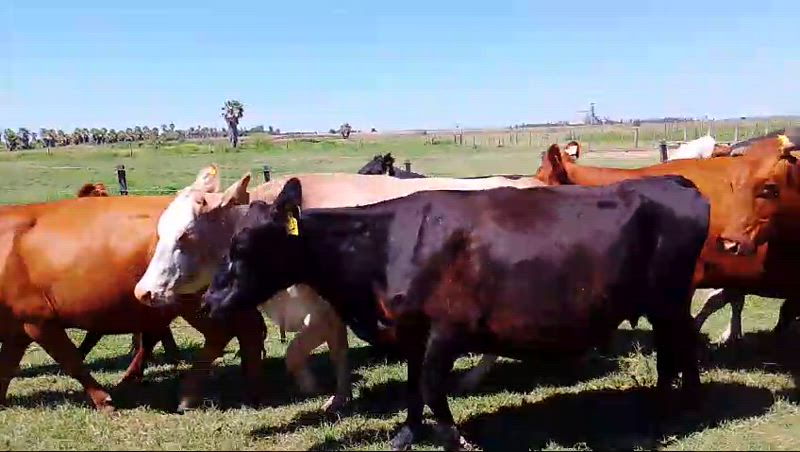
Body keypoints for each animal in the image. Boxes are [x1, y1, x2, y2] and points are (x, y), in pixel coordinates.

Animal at [0, 174, 266, 413]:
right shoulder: (18, 328)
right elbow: (7, 367)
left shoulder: (38, 319)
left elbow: (71, 361)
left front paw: (103, 401)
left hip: (192, 303)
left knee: (229, 332)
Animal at [132, 170, 547, 412]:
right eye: (161, 230)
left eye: (187, 234)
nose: (143, 292)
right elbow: (338, 351)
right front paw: (340, 394)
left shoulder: (329, 306)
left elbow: (297, 352)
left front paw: (317, 389)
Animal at [199, 174, 711, 450]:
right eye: (228, 244)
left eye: (243, 247)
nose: (210, 300)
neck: (385, 244)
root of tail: (675, 181)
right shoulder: (409, 330)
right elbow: (412, 386)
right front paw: (407, 434)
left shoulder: (447, 330)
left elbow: (429, 385)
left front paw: (455, 437)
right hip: (666, 303)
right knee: (677, 347)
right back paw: (672, 404)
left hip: (668, 300)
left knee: (679, 346)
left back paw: (672, 410)